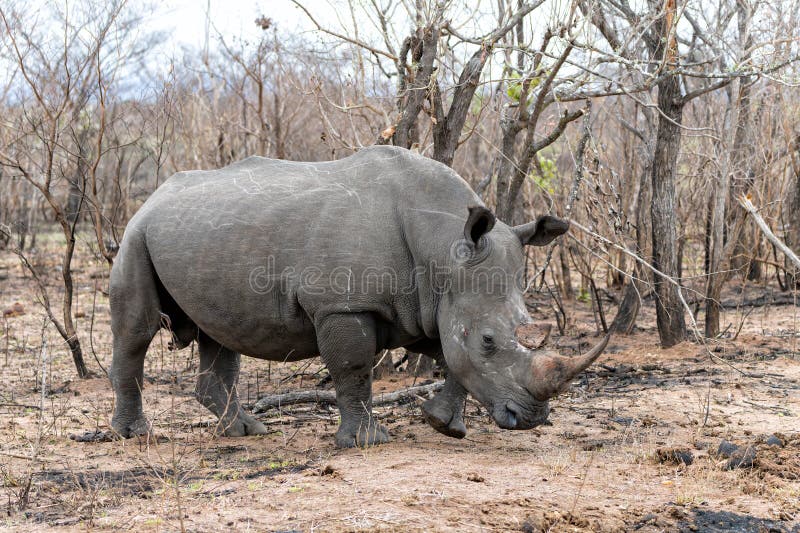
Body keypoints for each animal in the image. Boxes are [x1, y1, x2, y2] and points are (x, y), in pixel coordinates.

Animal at [108, 145, 608, 447]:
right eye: (489, 340)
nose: (531, 419)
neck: (445, 249)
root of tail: (155, 194)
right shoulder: (342, 305)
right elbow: (354, 367)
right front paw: (368, 441)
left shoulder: (428, 303)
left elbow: (453, 359)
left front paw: (443, 425)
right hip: (136, 232)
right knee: (137, 329)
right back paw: (135, 435)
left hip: (204, 237)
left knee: (220, 334)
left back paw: (246, 431)